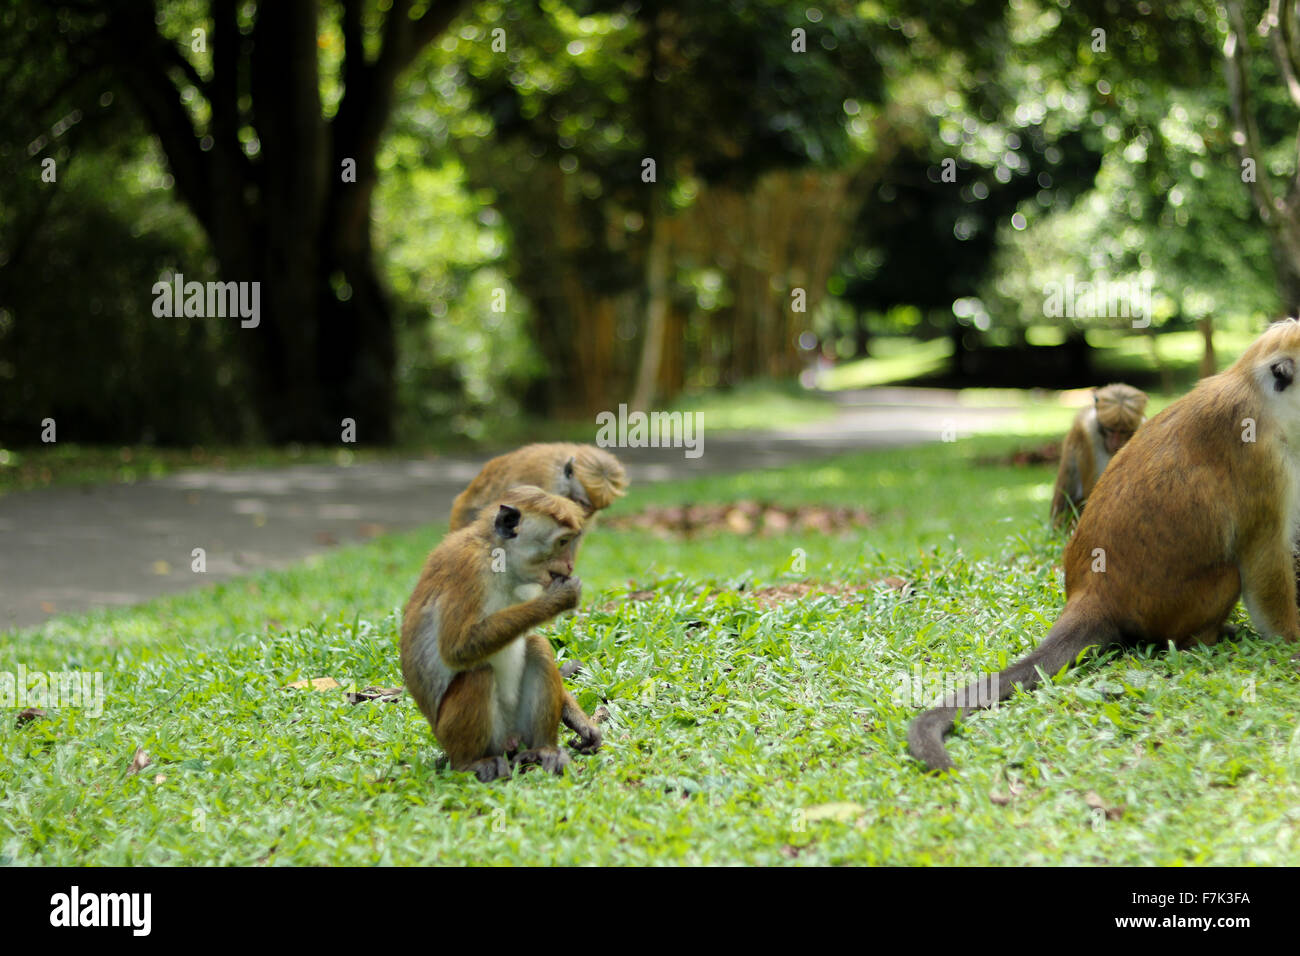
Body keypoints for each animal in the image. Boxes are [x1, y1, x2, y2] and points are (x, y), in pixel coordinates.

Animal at [401, 485, 604, 781]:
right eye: (563, 542)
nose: (569, 566)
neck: (499, 557)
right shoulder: (468, 568)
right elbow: (456, 649)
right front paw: (558, 599)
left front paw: (581, 722)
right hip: (461, 736)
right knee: (478, 673)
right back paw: (470, 763)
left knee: (538, 647)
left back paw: (543, 751)